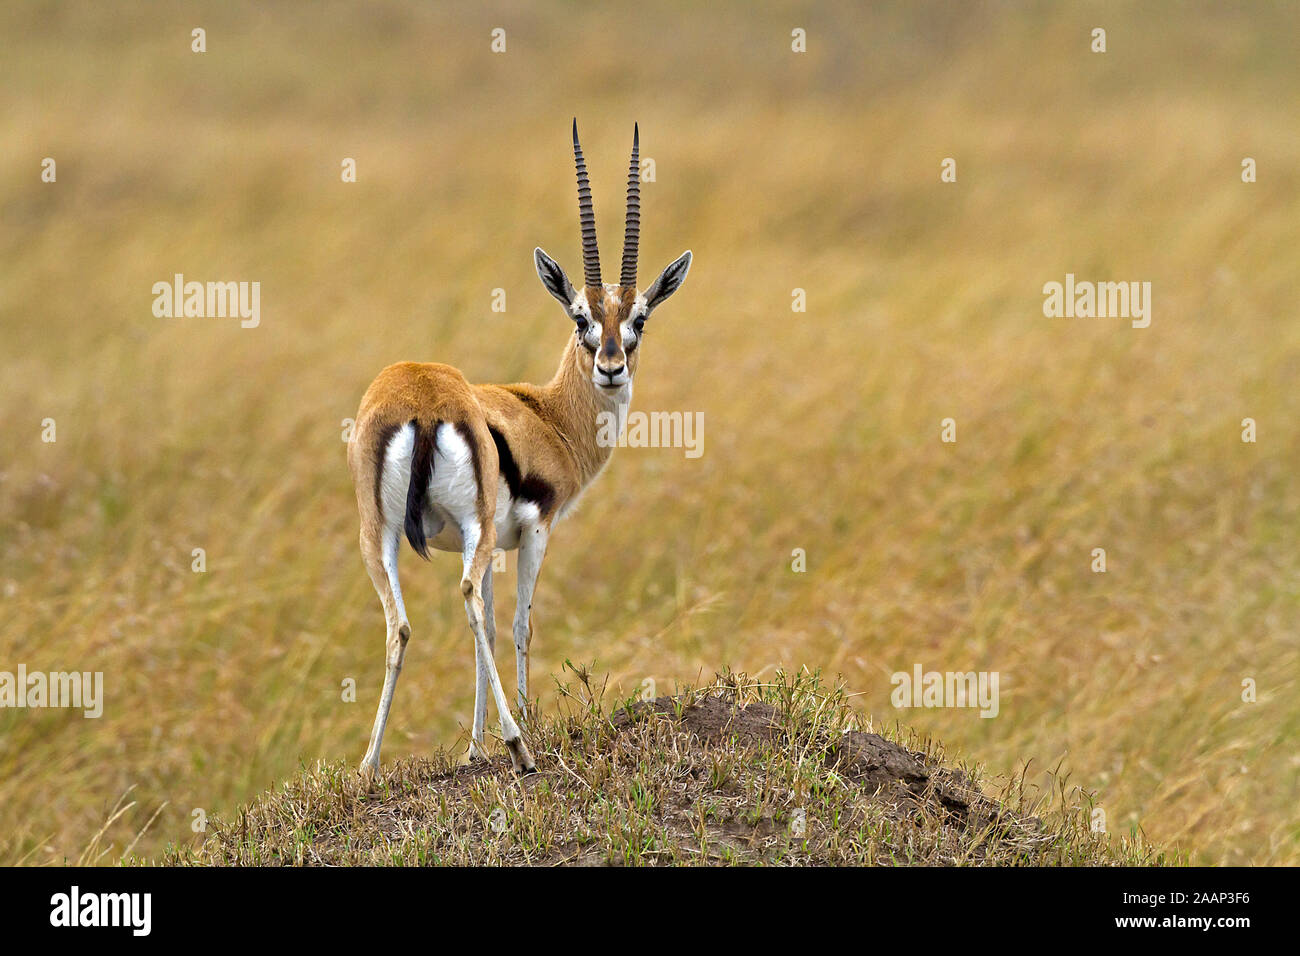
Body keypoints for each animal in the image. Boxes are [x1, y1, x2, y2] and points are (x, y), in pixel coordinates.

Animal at [348, 121, 692, 777]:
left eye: (639, 319)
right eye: (580, 317)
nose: (611, 367)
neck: (546, 415)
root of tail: (421, 397)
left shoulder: (483, 545)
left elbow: (482, 627)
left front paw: (472, 748)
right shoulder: (534, 529)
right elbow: (519, 625)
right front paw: (519, 730)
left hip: (382, 536)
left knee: (399, 624)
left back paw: (370, 766)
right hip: (473, 529)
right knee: (465, 603)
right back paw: (519, 747)